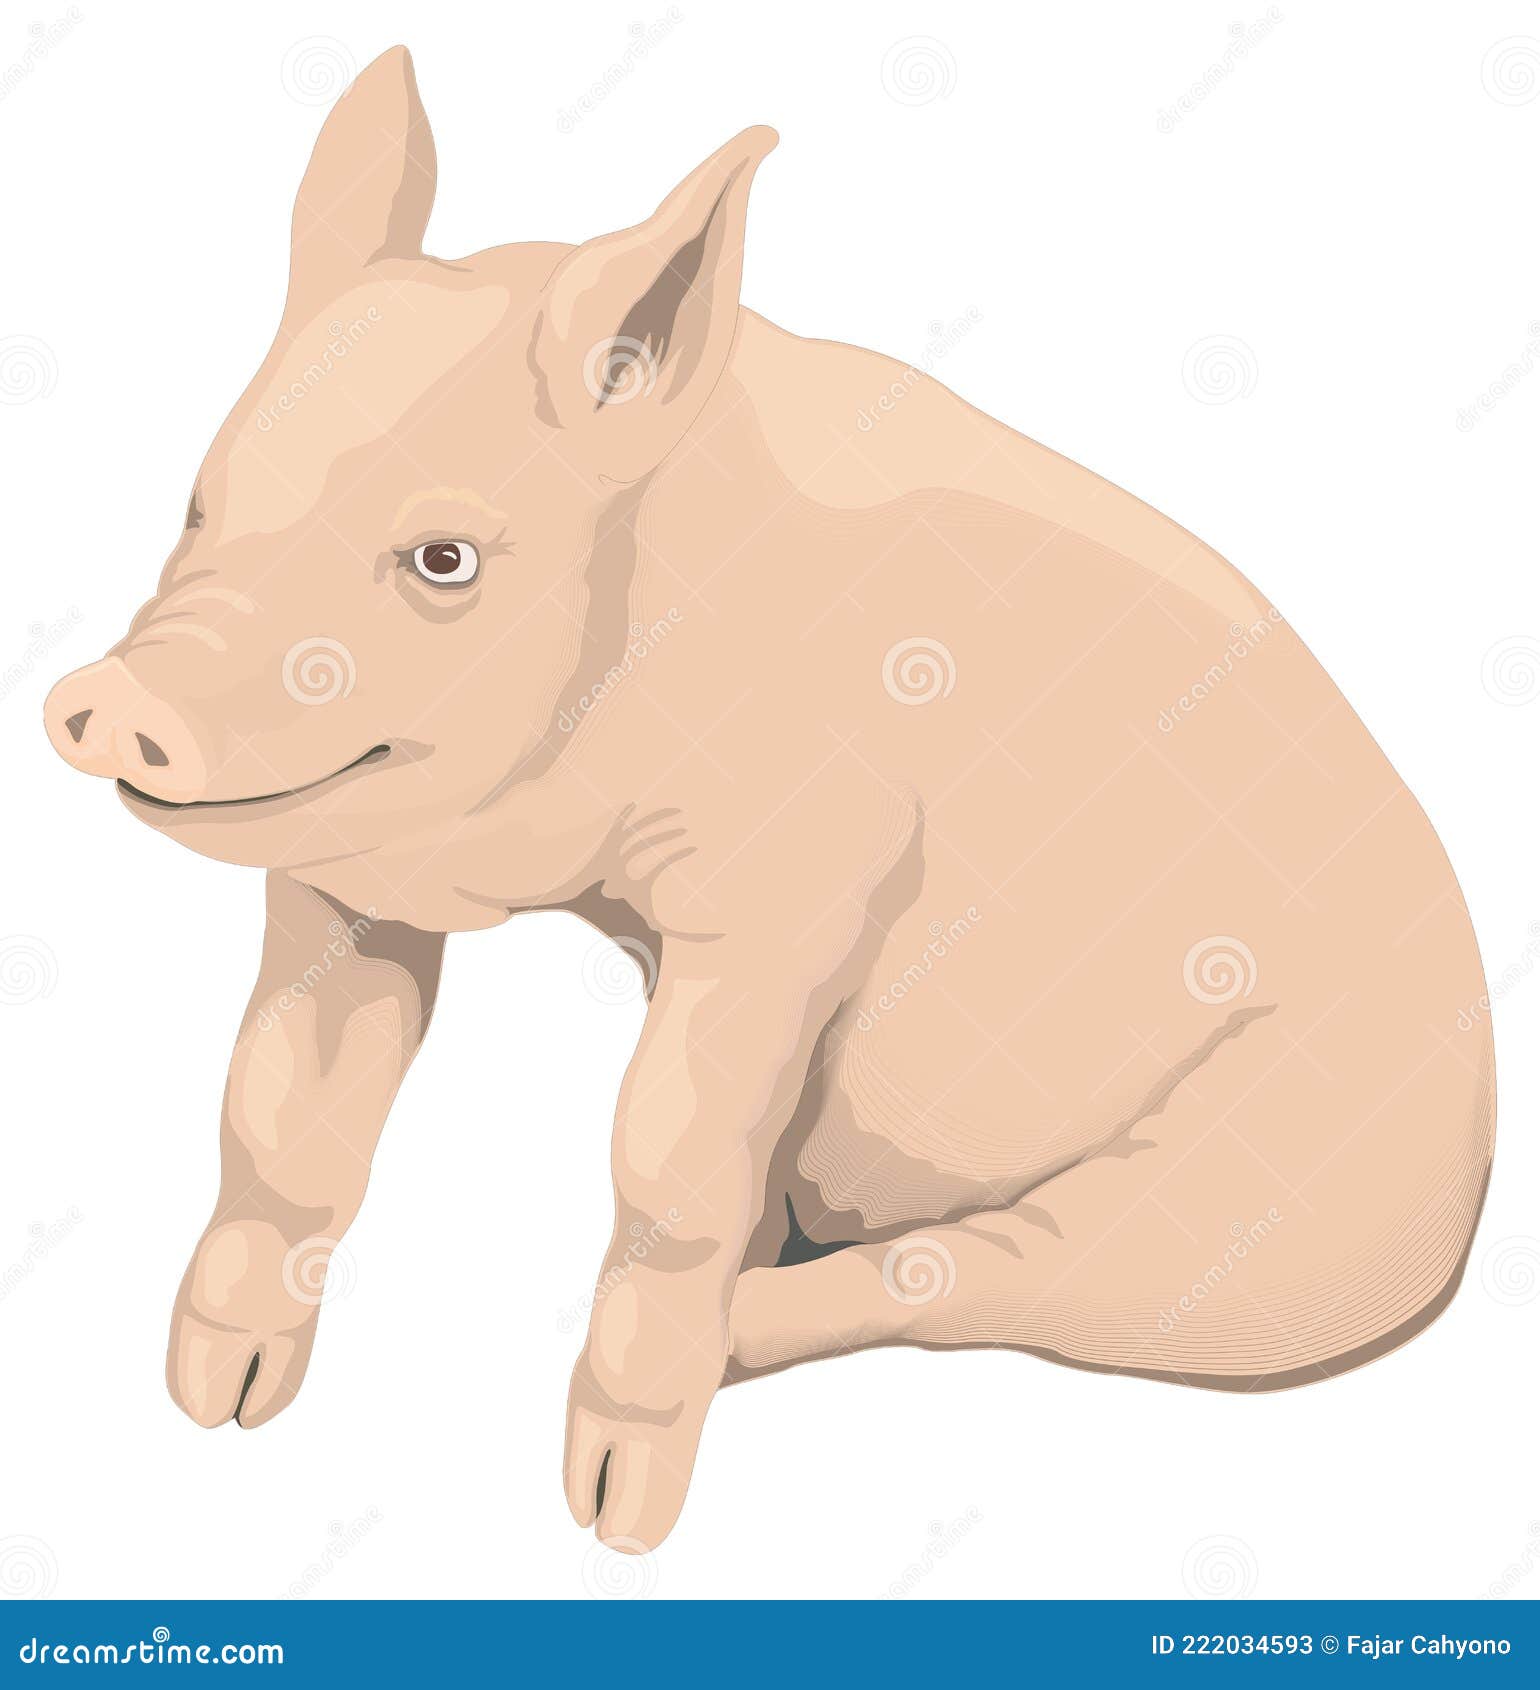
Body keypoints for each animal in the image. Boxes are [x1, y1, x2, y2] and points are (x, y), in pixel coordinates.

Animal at [45, 47, 1494, 1553]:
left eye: (443, 557)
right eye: (198, 504)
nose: (114, 697)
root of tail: (1471, 1176)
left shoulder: (796, 880)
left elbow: (663, 1153)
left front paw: (612, 1520)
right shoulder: (349, 867)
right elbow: (279, 1103)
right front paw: (212, 1403)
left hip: (1209, 1232)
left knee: (947, 1278)